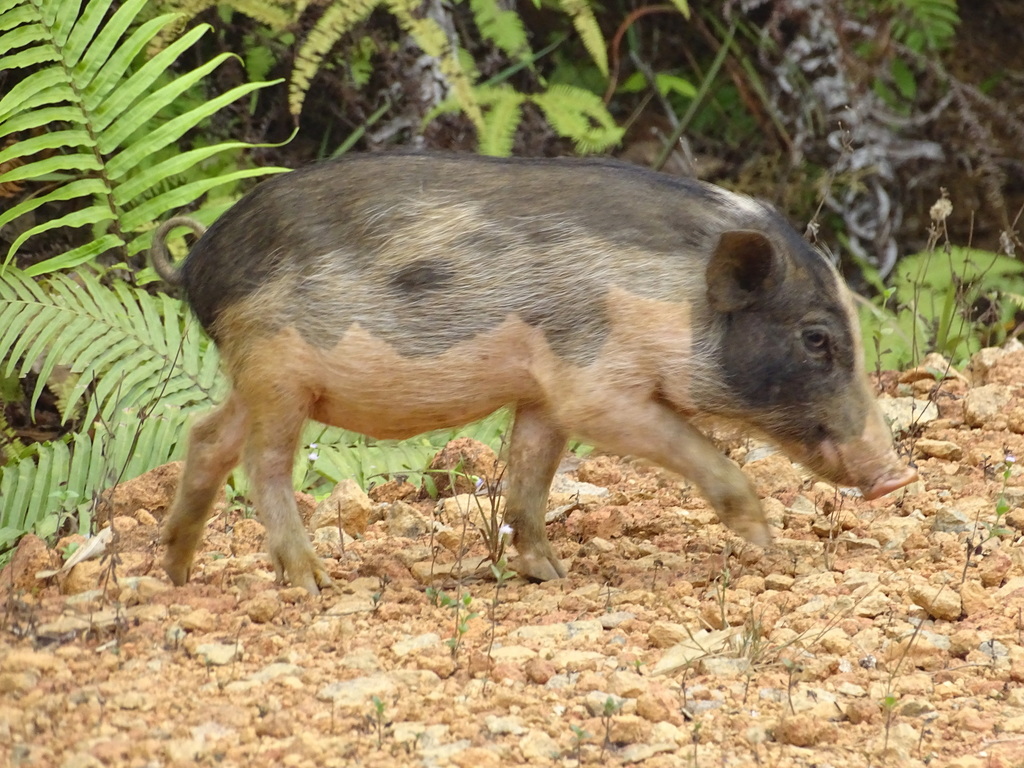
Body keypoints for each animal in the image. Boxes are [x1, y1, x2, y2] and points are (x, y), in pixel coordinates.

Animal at [150, 152, 917, 594]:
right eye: (816, 338)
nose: (897, 476)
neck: (674, 295)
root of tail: (197, 261)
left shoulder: (543, 392)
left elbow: (528, 478)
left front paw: (551, 574)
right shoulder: (593, 385)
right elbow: (702, 454)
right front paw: (767, 548)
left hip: (257, 376)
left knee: (207, 436)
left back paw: (178, 572)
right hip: (276, 369)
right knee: (264, 463)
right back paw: (311, 583)